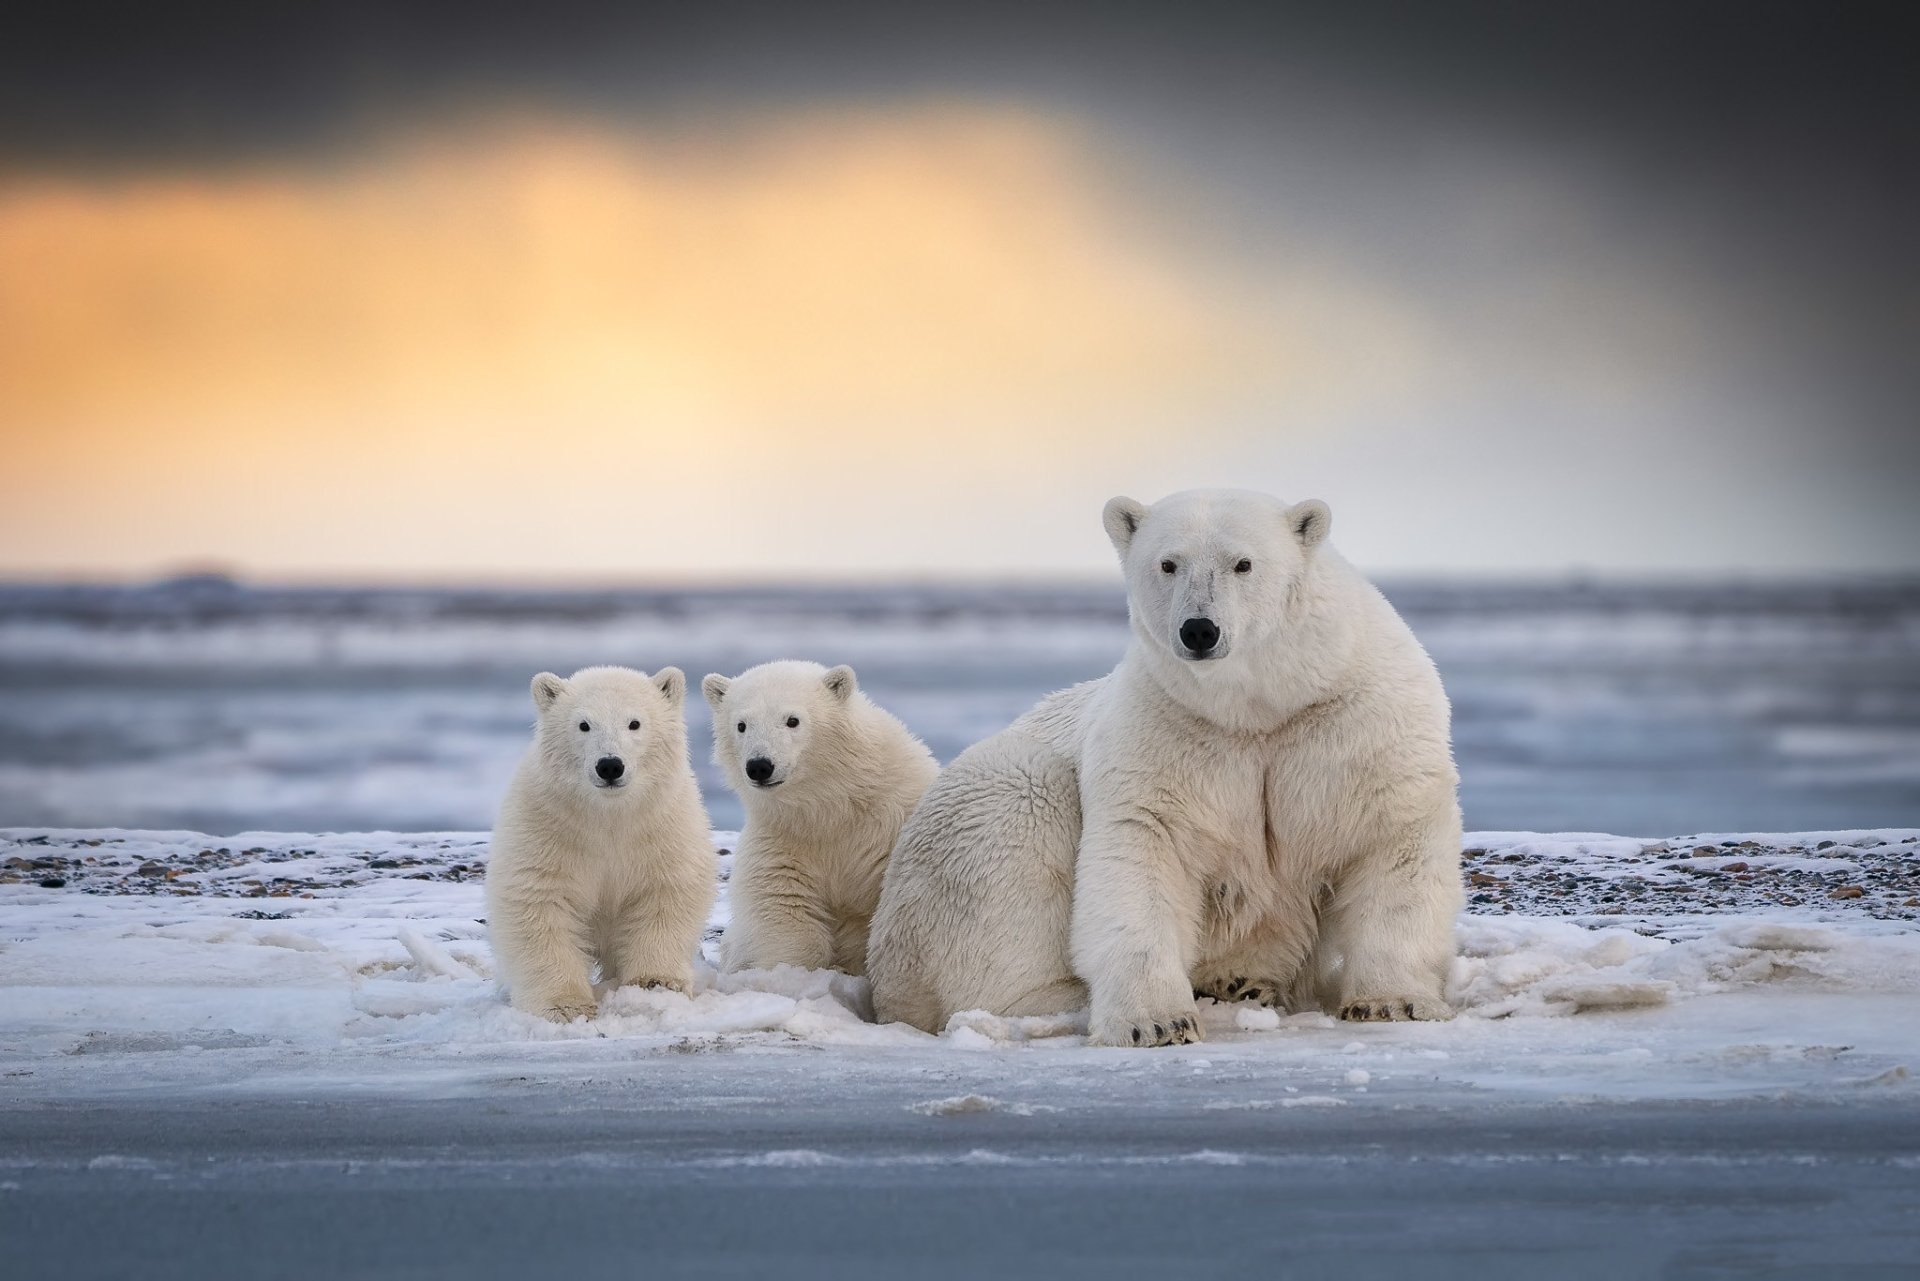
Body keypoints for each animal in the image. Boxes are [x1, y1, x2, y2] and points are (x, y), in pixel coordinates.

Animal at [485, 665, 716, 1021]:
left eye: (634, 723)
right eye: (584, 724)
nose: (610, 765)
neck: (608, 815)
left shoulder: (661, 827)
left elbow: (664, 892)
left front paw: (656, 984)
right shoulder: (547, 827)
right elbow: (540, 901)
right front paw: (565, 1005)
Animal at [702, 661, 939, 976]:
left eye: (792, 720)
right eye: (741, 725)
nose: (760, 766)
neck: (832, 807)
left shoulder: (889, 823)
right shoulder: (784, 842)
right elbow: (785, 909)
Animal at [867, 488, 1462, 1045]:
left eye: (1243, 563)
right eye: (1168, 563)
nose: (1199, 630)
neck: (1262, 709)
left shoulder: (1355, 725)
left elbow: (1393, 840)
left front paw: (1392, 1002)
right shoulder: (1163, 730)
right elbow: (1143, 856)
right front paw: (1153, 1022)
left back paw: (1243, 983)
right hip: (978, 818)